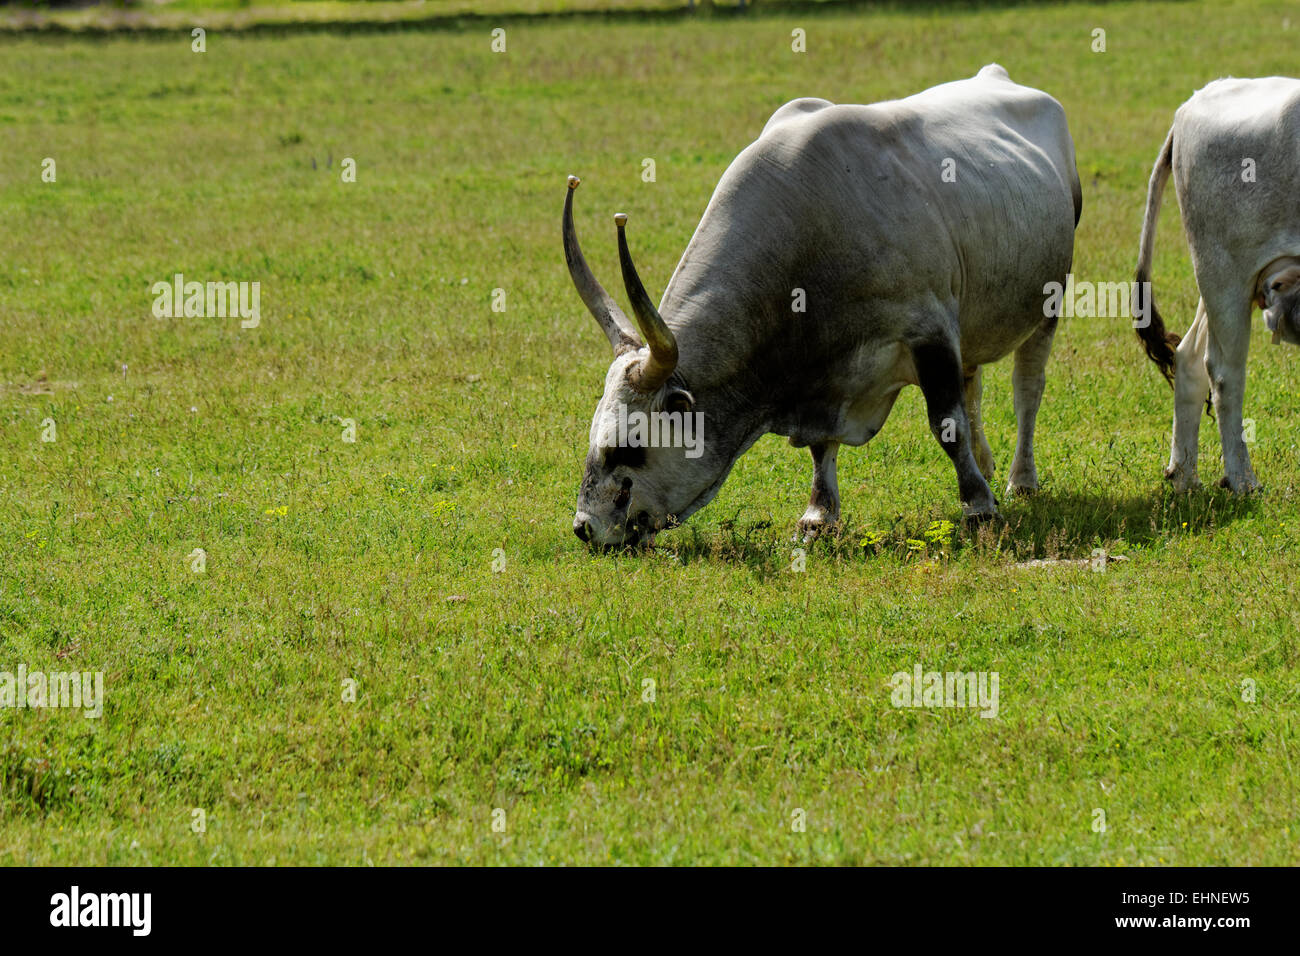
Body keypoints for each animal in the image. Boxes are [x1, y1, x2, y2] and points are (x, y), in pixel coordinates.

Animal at [565, 64, 1082, 547]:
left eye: (628, 446)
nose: (585, 528)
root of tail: (996, 76)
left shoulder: (929, 331)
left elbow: (946, 423)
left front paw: (977, 505)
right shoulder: (827, 375)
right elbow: (821, 447)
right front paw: (819, 514)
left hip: (1047, 304)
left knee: (1026, 390)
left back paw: (1019, 479)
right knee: (973, 381)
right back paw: (988, 464)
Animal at [1133, 76, 1300, 494]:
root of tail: (1194, 102)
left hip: (1218, 279)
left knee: (1189, 357)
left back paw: (1183, 474)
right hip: (1227, 273)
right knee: (1224, 372)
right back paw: (1242, 479)